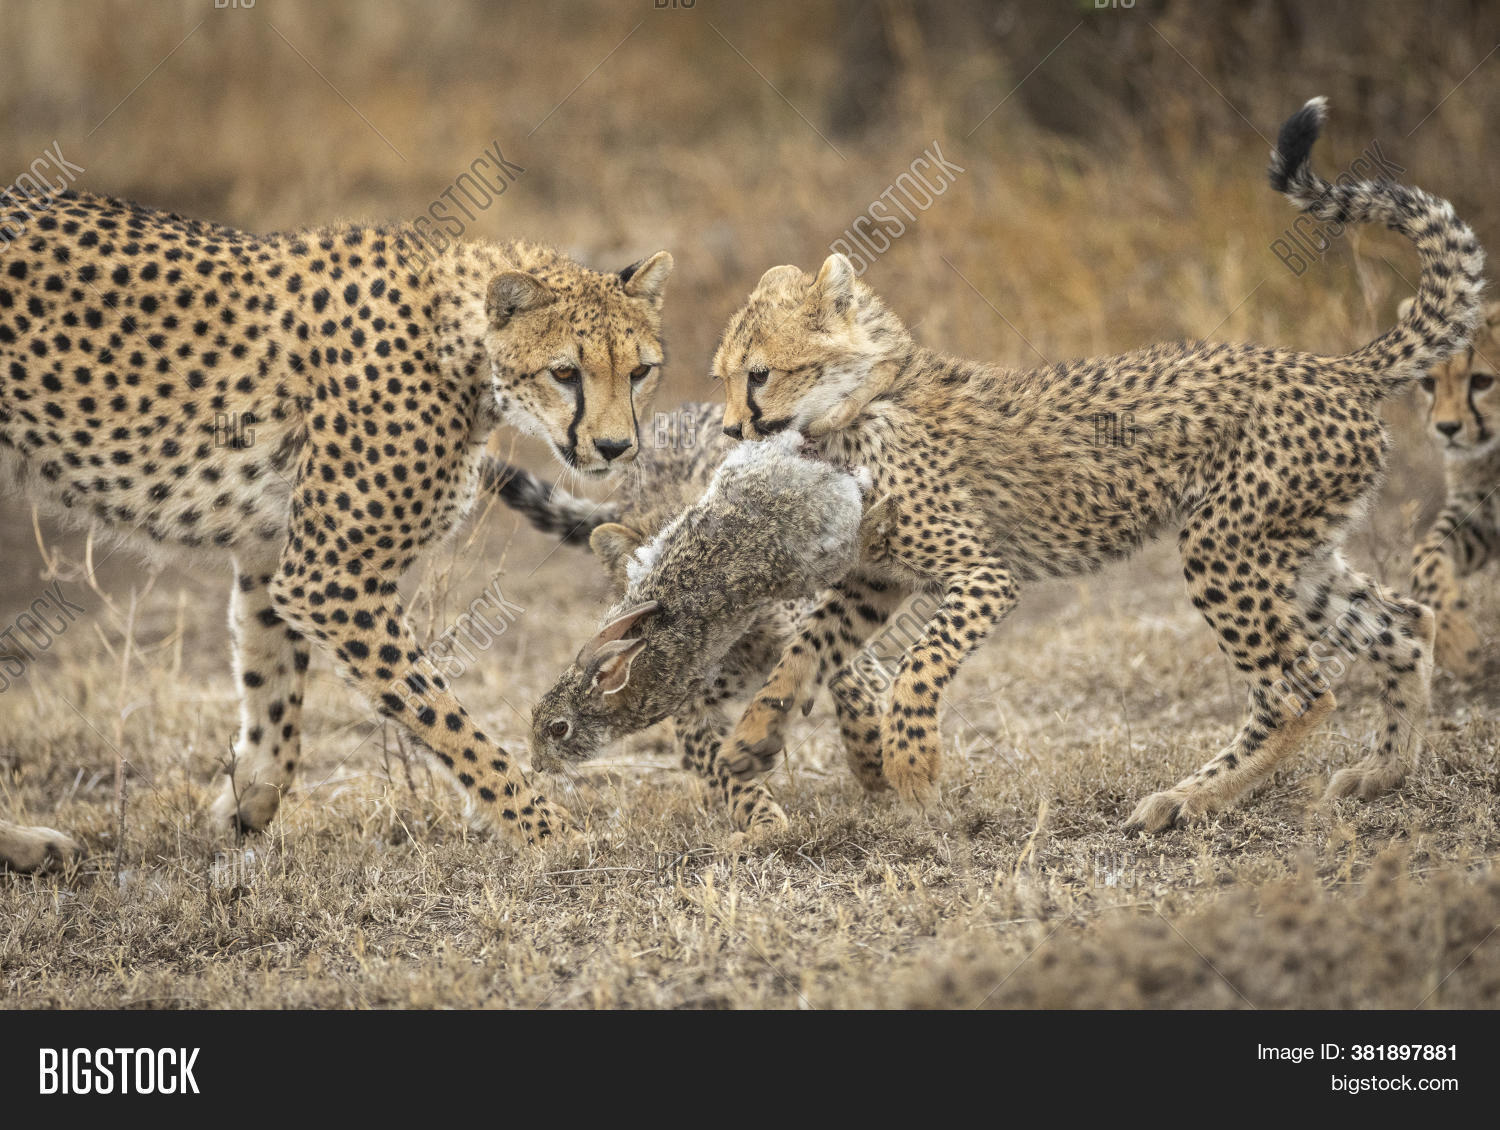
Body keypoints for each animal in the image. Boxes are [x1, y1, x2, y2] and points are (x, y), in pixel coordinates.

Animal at [0, 187, 672, 870]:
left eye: (640, 371)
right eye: (565, 373)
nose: (615, 447)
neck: (461, 348)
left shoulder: (275, 554)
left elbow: (271, 681)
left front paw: (246, 802)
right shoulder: (331, 575)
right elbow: (441, 713)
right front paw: (546, 829)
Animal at [710, 98, 1485, 833]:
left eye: (758, 375)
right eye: (723, 377)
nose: (727, 428)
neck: (857, 404)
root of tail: (1333, 366)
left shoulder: (984, 573)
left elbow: (917, 663)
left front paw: (911, 765)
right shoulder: (875, 580)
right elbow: (806, 648)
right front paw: (752, 737)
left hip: (1223, 545)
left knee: (1298, 693)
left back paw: (1188, 800)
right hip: (1293, 551)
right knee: (1406, 626)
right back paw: (1381, 772)